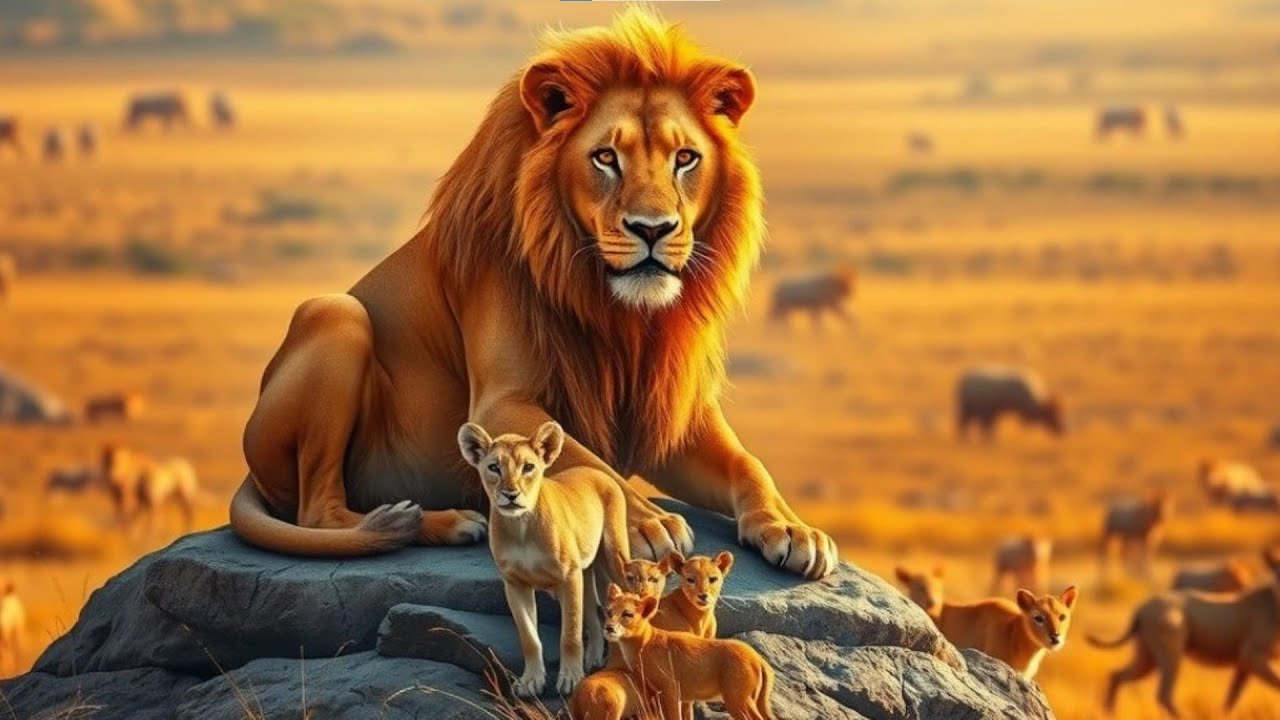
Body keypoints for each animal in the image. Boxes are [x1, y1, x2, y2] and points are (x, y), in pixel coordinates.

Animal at [229, 7, 836, 578]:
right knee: (318, 512)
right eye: (606, 157)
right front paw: (649, 522)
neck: (621, 314)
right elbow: (585, 461)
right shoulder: (501, 402)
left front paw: (791, 527)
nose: (653, 229)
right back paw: (439, 521)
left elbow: (748, 463)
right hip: (337, 312)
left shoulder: (666, 415)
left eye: (685, 158)